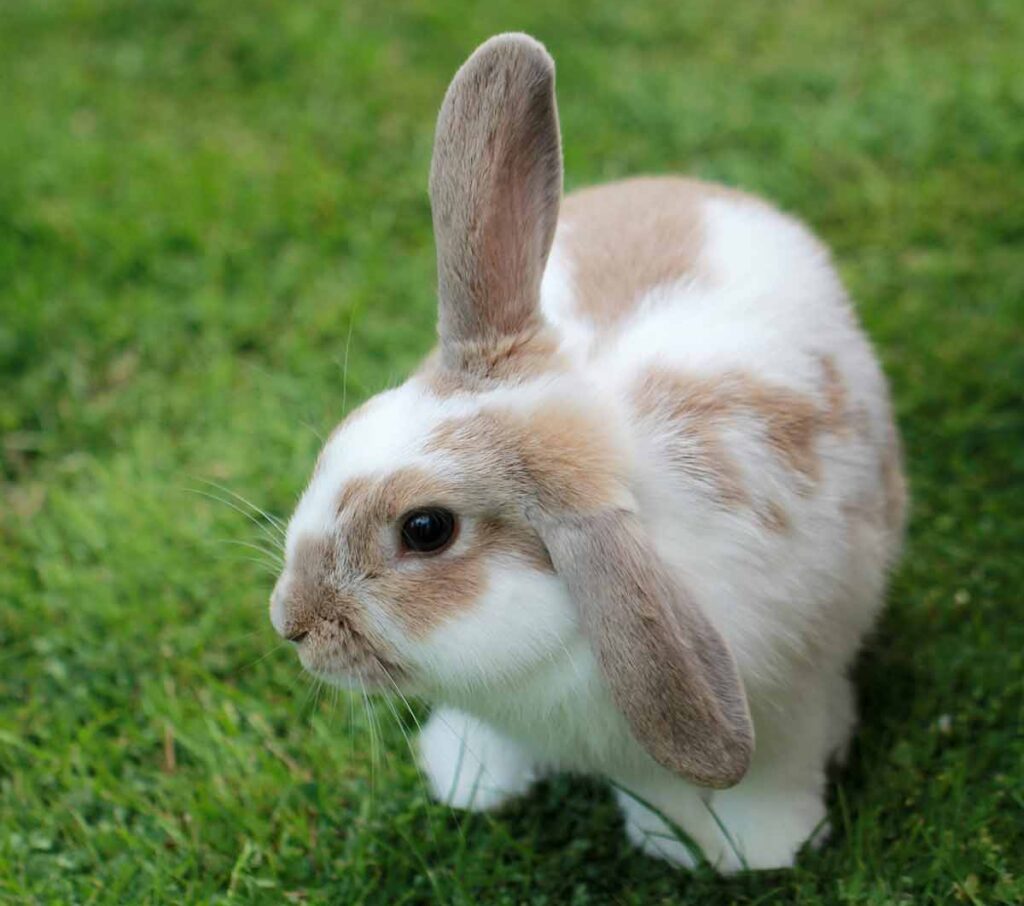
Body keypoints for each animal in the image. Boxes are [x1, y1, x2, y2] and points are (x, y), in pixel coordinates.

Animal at [268, 33, 907, 872]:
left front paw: (761, 847)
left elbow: (770, 773)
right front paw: (472, 778)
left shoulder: (786, 698)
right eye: (348, 433)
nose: (291, 623)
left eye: (426, 530)